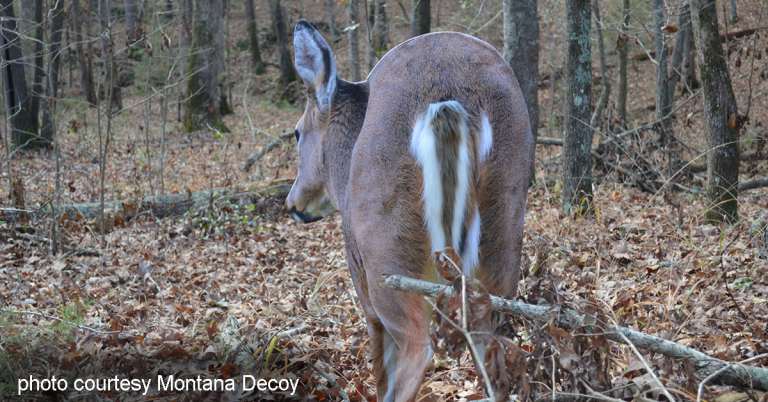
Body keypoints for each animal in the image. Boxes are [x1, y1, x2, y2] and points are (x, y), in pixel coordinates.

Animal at [286, 20, 533, 402]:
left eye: (297, 133)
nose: (292, 203)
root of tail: (448, 103)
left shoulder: (362, 282)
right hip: (502, 240)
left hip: (388, 255)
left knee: (416, 354)